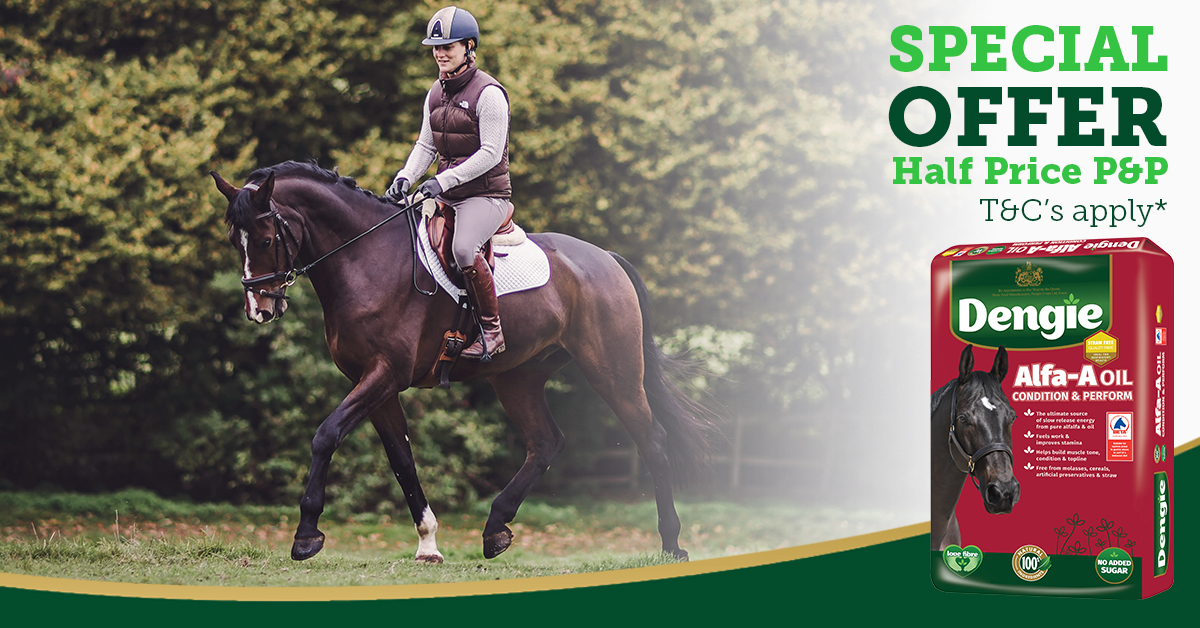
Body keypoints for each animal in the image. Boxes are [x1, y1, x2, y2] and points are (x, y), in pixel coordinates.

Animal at [209, 161, 719, 562]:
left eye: (267, 238)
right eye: (235, 240)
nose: (260, 309)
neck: (366, 259)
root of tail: (605, 259)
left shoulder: (385, 375)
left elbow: (326, 435)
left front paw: (306, 535)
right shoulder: (376, 385)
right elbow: (401, 459)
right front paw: (428, 544)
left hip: (613, 372)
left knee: (652, 440)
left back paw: (672, 544)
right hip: (517, 379)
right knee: (545, 443)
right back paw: (495, 530)